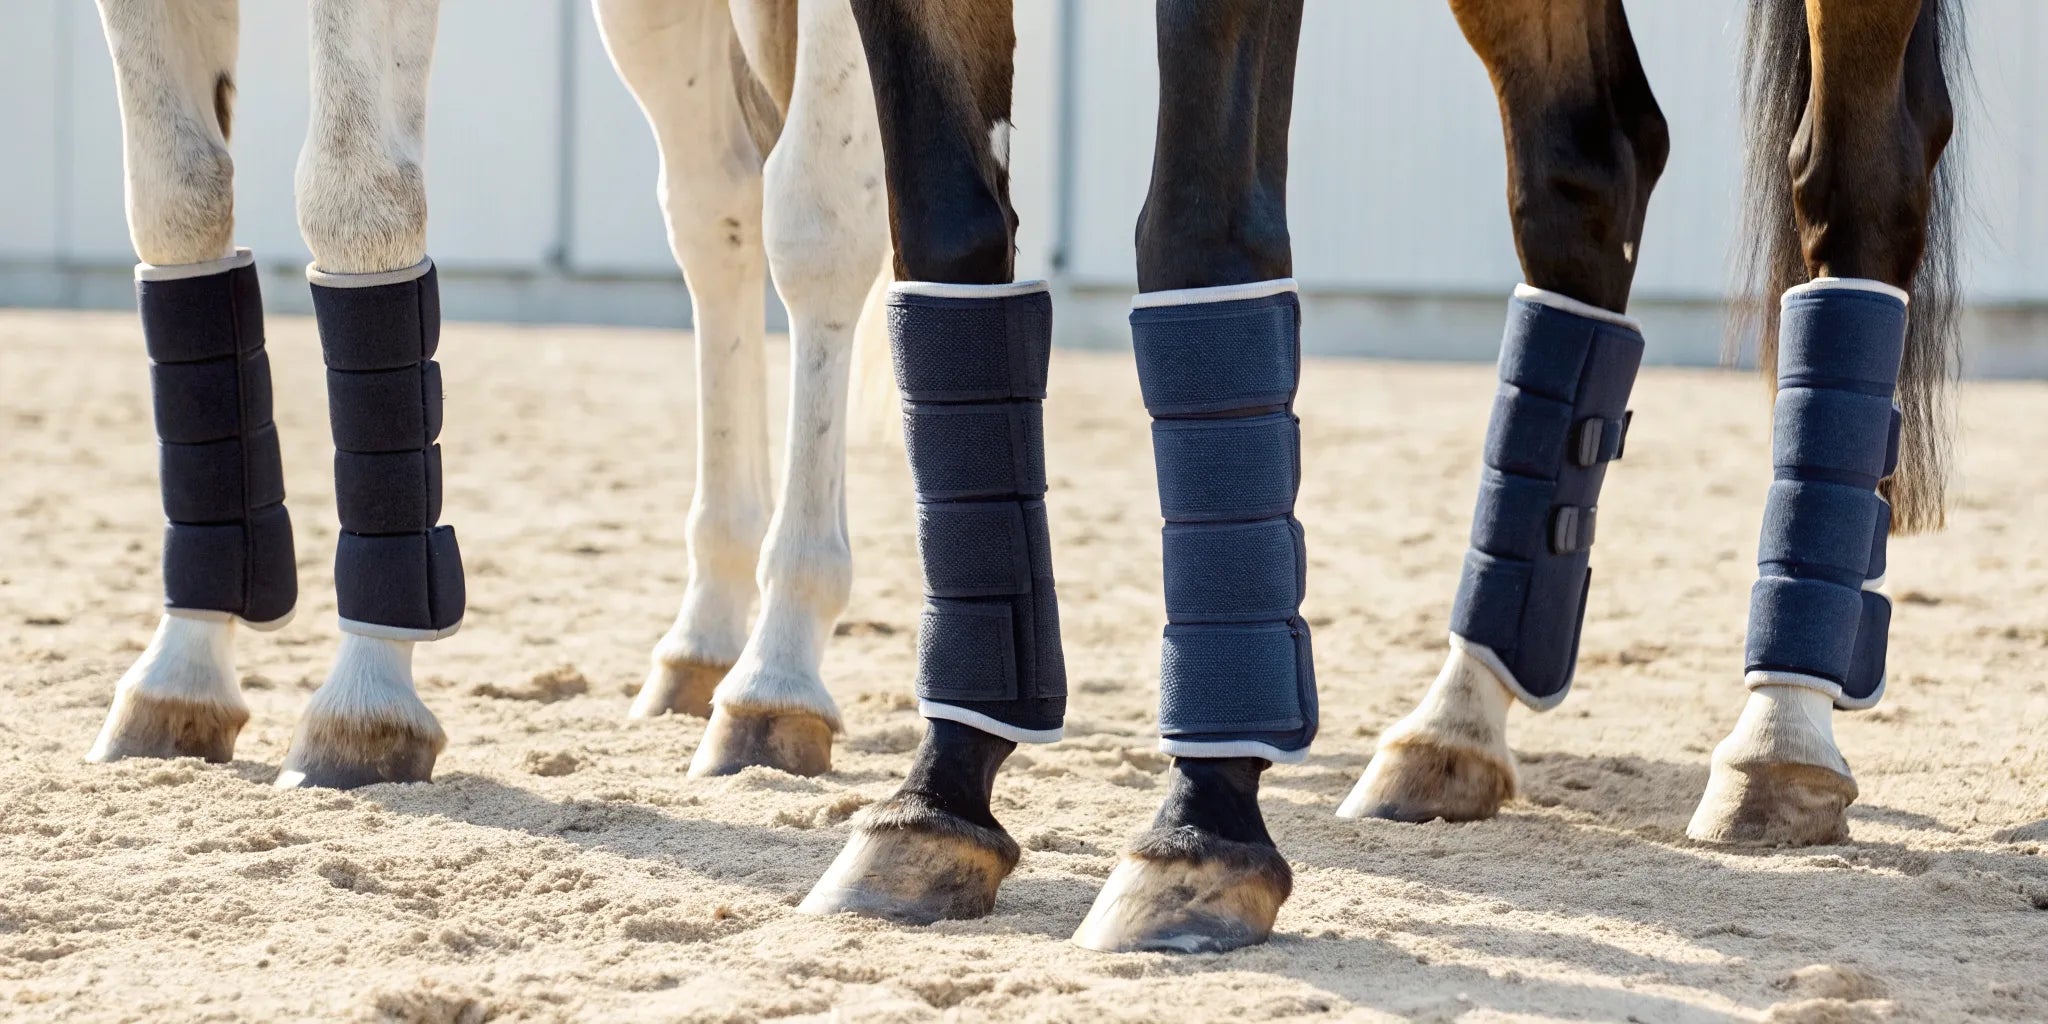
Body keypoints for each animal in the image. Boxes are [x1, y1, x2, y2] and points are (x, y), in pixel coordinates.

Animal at [85, 0, 887, 787]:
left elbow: (356, 196)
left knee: (819, 218)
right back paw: (707, 643)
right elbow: (176, 201)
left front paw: (364, 701)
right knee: (717, 209)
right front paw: (180, 673)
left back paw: (775, 675)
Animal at [787, 0, 1963, 956]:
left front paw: (1199, 833)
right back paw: (1454, 722)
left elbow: (1199, 230)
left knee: (1857, 170)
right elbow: (947, 238)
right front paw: (931, 805)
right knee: (1590, 163)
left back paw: (1780, 736)